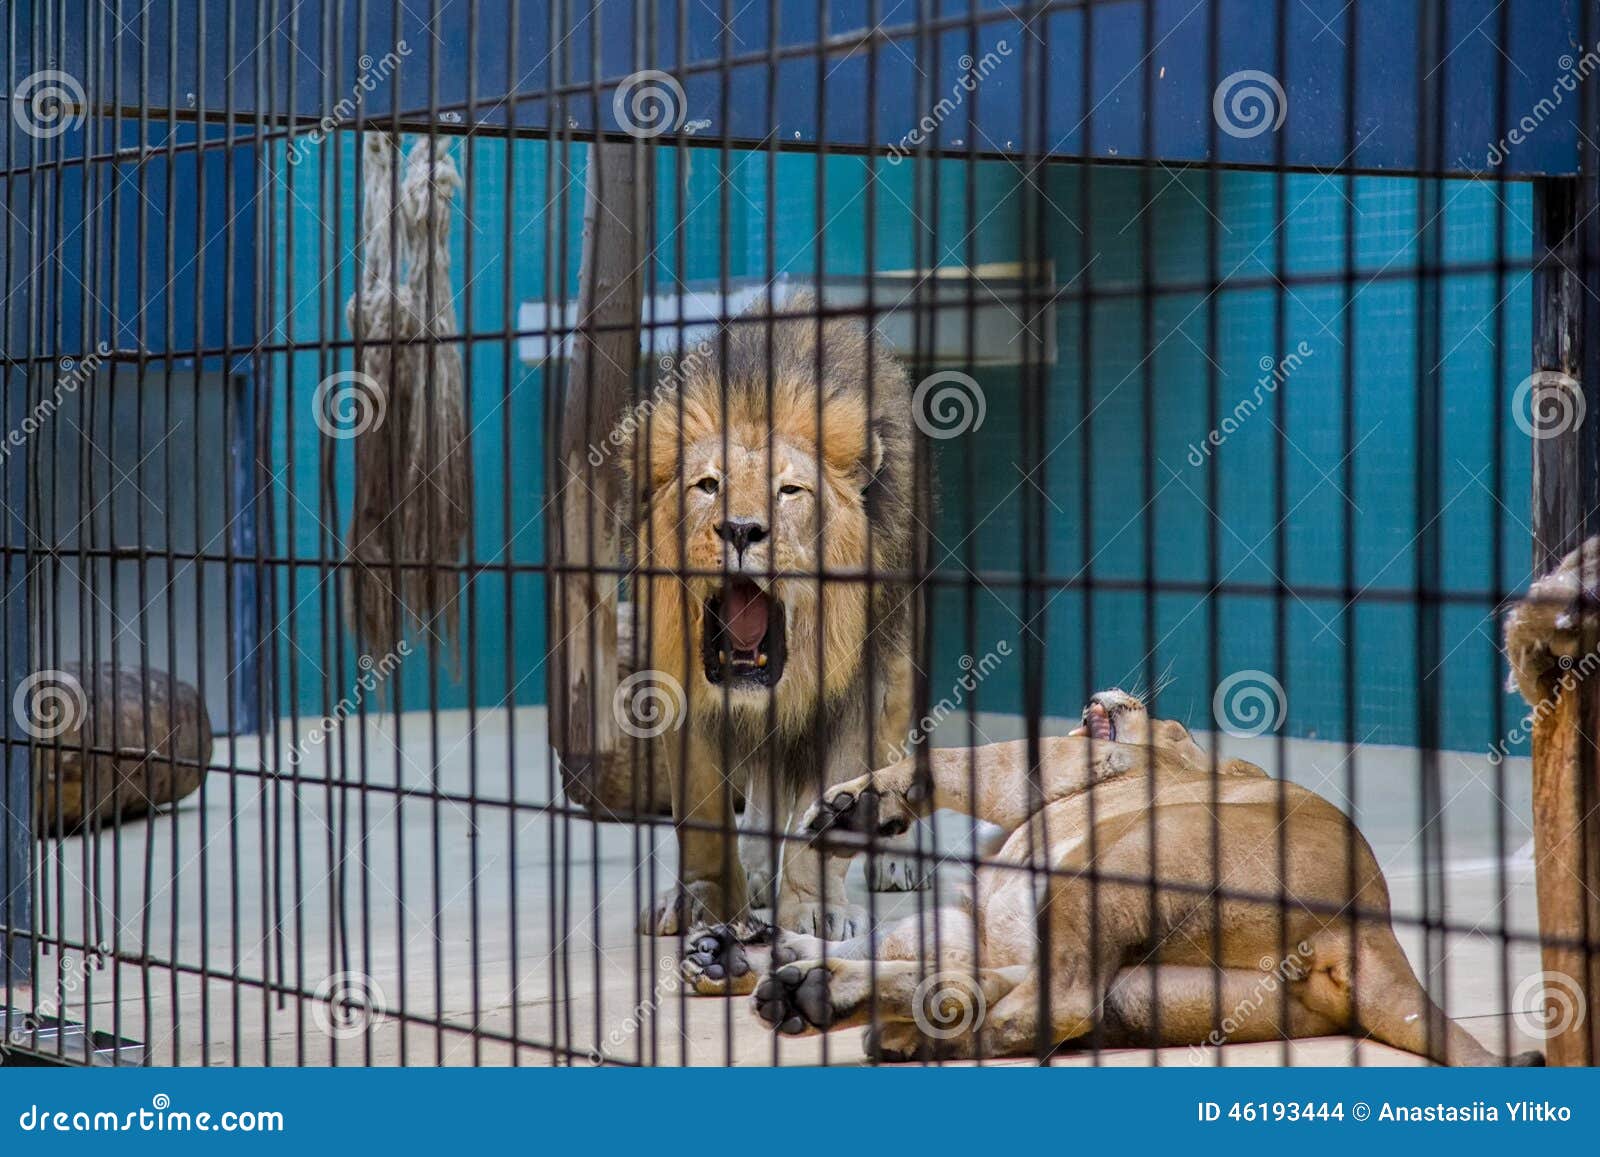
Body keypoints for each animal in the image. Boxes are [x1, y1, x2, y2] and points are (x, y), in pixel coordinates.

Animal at [617, 292, 927, 941]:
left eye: (790, 492)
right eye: (707, 485)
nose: (739, 529)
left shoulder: (854, 695)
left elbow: (827, 811)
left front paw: (814, 909)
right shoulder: (685, 687)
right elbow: (702, 814)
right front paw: (700, 900)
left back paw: (892, 858)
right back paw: (759, 871)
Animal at [683, 687, 1545, 1065]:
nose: (1111, 693)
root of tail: (1367, 922)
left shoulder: (1060, 769)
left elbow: (965, 758)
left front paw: (861, 803)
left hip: (1119, 861)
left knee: (1048, 1002)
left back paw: (898, 1023)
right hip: (1158, 992)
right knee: (1010, 982)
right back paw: (774, 969)